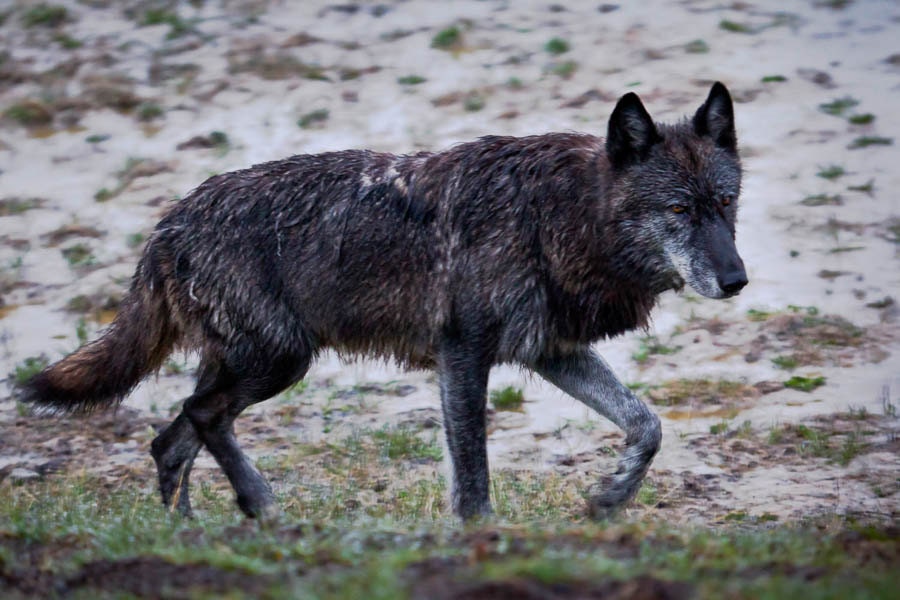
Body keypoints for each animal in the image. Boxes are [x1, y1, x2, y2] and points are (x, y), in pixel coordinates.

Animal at [21, 82, 746, 521]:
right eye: (678, 210)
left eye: (726, 202)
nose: (737, 280)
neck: (556, 215)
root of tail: (168, 223)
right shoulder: (464, 356)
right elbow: (473, 479)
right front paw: (484, 545)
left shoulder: (553, 353)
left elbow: (646, 425)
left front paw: (609, 499)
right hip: (278, 363)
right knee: (198, 419)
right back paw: (260, 507)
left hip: (251, 365)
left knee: (170, 441)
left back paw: (193, 535)